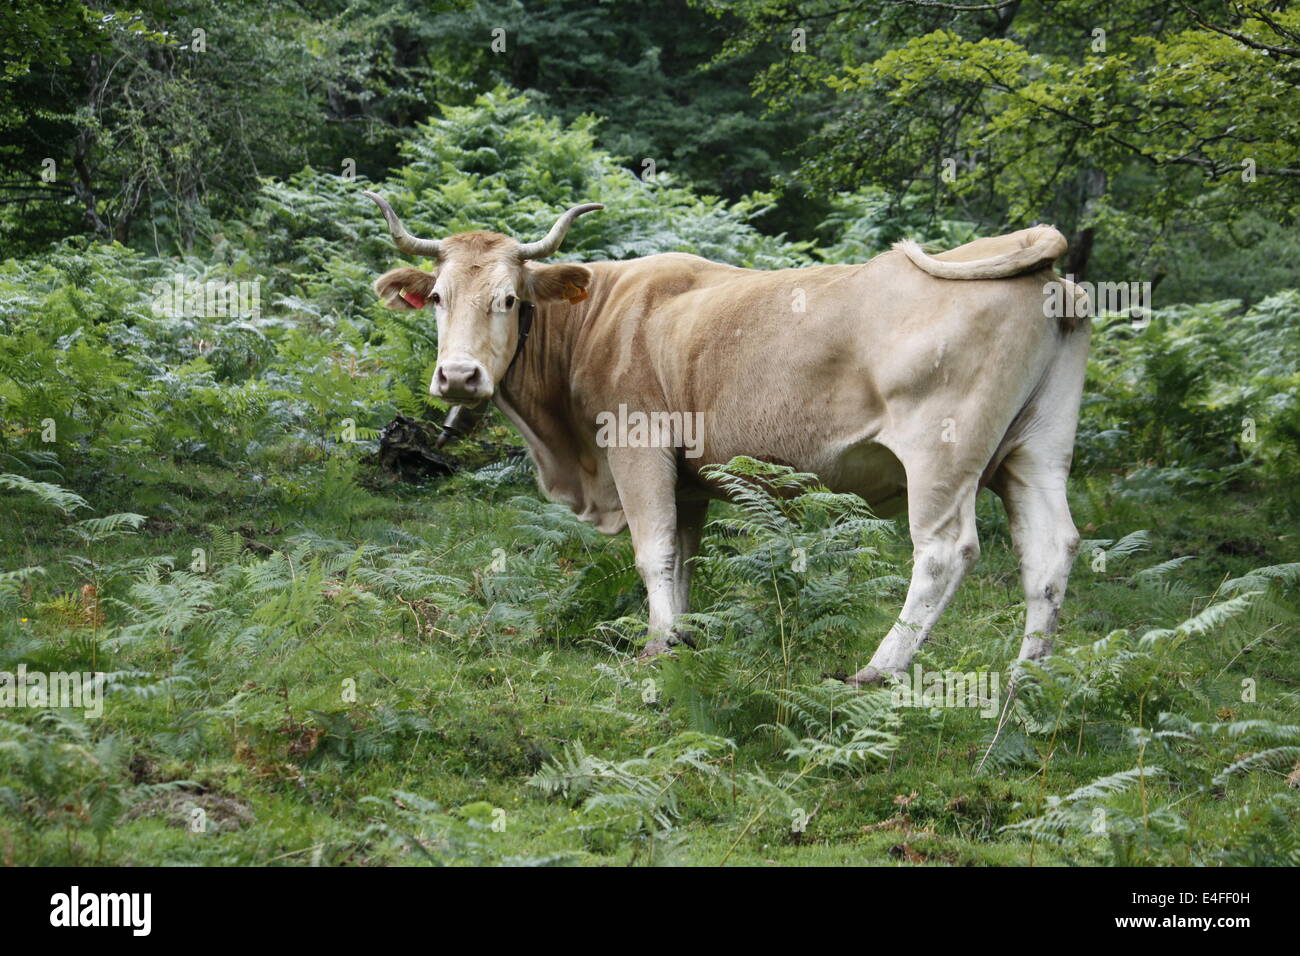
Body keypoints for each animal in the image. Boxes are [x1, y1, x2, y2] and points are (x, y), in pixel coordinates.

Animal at [363, 191, 1090, 686]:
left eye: (509, 299)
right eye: (437, 298)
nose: (460, 376)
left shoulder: (638, 444)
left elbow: (652, 550)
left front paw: (656, 646)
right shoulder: (689, 478)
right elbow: (684, 557)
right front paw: (682, 637)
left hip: (942, 455)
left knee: (944, 552)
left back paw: (877, 670)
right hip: (1035, 452)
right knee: (1049, 552)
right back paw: (1026, 680)